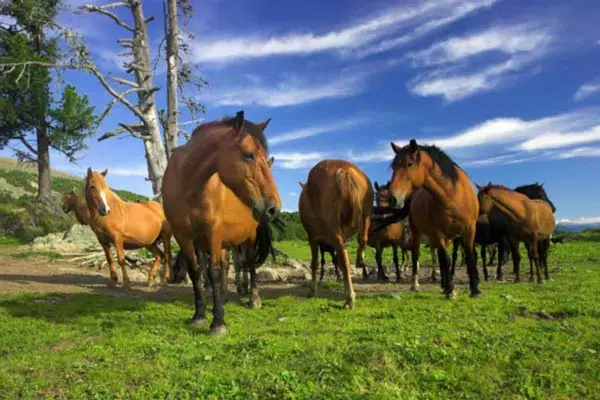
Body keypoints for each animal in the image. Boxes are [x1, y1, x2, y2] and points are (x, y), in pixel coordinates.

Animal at [161, 111, 280, 336]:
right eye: (249, 154)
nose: (273, 207)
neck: (187, 184)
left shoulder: (213, 232)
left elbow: (213, 272)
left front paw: (218, 323)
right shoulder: (185, 236)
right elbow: (197, 271)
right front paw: (199, 315)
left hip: (248, 239)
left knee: (249, 264)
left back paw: (253, 299)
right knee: (227, 265)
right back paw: (223, 299)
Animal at [300, 159, 376, 310]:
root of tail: (344, 170)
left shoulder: (312, 237)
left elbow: (314, 263)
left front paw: (312, 289)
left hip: (334, 232)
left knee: (344, 257)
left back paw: (350, 298)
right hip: (366, 215)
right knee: (362, 239)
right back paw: (360, 260)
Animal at [384, 138, 482, 296]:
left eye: (409, 164)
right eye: (393, 167)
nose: (392, 199)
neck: (453, 196)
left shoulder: (469, 230)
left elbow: (469, 257)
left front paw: (475, 290)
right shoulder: (438, 233)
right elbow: (445, 260)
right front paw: (450, 291)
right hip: (417, 232)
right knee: (417, 255)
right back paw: (416, 284)